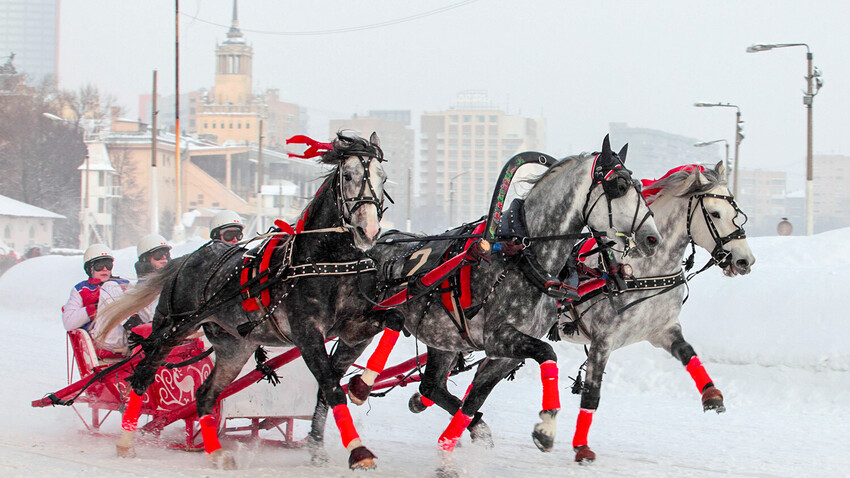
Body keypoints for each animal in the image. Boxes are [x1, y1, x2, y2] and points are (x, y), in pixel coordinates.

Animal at [97, 132, 402, 470]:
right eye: (348, 175)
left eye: (382, 177)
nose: (368, 230)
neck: (326, 262)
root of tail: (186, 259)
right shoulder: (307, 333)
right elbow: (332, 388)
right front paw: (359, 451)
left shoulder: (352, 326)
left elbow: (393, 321)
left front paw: (361, 386)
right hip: (172, 328)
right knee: (143, 374)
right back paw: (126, 440)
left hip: (234, 346)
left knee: (205, 394)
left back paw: (216, 451)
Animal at [342, 135, 661, 475]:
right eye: (620, 185)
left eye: (639, 185)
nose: (653, 239)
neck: (523, 255)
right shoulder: (499, 338)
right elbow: (548, 354)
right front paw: (546, 427)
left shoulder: (503, 355)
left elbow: (473, 402)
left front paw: (449, 449)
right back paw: (353, 400)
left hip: (442, 337)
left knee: (431, 386)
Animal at [552, 161, 755, 463]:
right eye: (715, 213)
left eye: (736, 212)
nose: (744, 260)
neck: (643, 272)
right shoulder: (603, 340)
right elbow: (592, 394)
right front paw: (581, 446)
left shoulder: (662, 330)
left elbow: (689, 354)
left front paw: (712, 395)